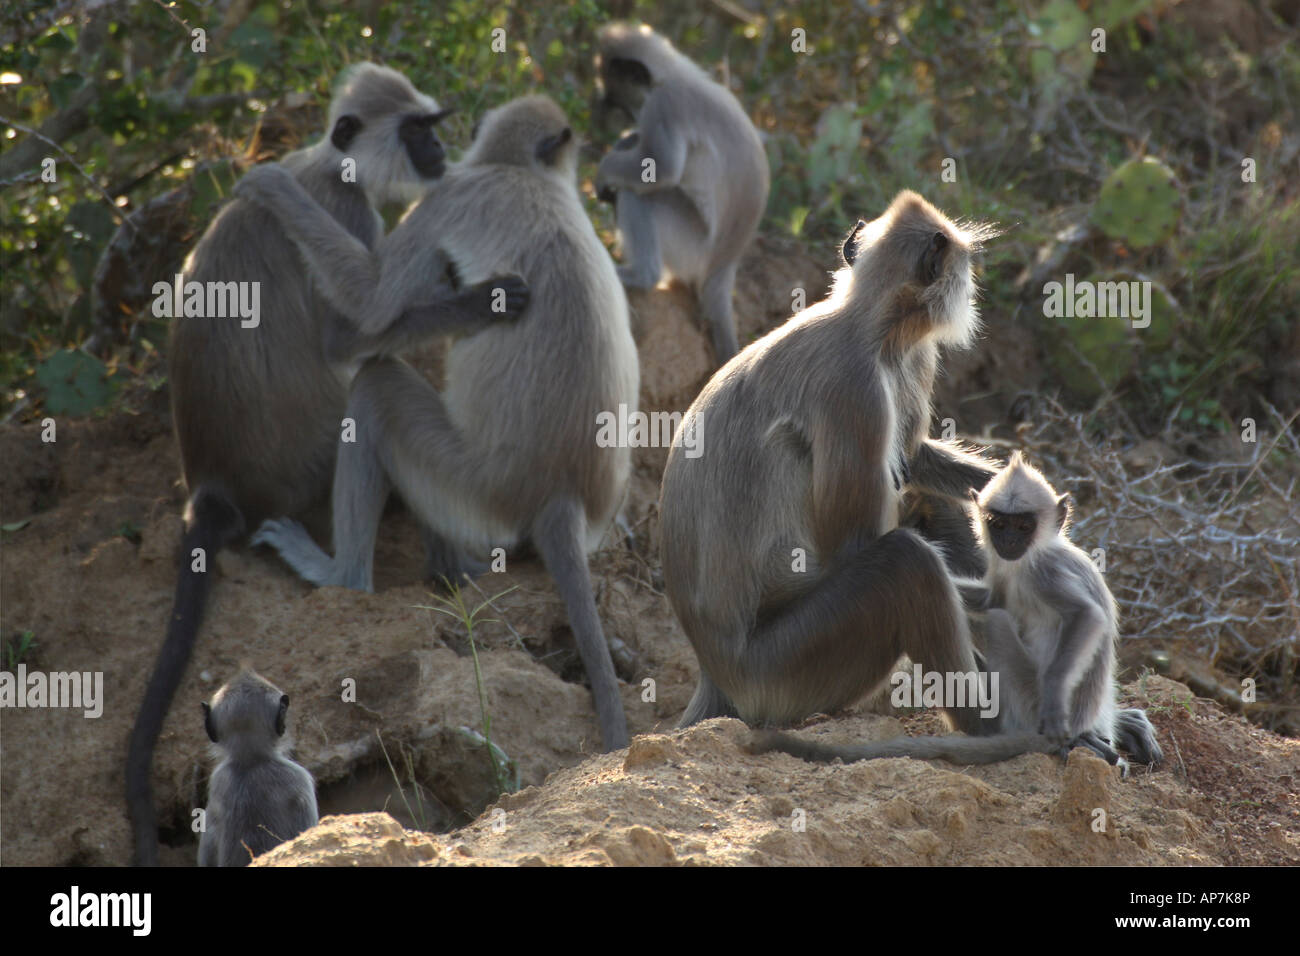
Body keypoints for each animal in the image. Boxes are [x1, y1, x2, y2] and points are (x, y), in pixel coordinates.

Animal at [232, 95, 640, 752]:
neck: (523, 174)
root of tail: (560, 493)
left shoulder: (450, 193)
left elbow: (369, 305)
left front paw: (270, 185)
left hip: (469, 487)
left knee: (375, 389)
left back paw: (340, 575)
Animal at [593, 22, 770, 365]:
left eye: (617, 100)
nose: (619, 114)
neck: (673, 72)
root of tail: (722, 268)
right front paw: (624, 142)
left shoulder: (664, 106)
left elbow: (661, 171)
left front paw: (605, 169)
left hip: (691, 246)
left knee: (639, 196)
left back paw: (642, 276)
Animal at [659, 190, 999, 737]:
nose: (972, 290)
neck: (871, 328)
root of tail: (716, 674)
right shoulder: (855, 390)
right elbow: (855, 544)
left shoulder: (912, 357)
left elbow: (913, 458)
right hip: (781, 673)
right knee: (906, 562)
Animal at [750, 453, 1164, 771]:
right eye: (999, 523)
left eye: (1023, 525)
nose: (1007, 540)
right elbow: (990, 599)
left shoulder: (1043, 571)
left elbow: (1084, 616)